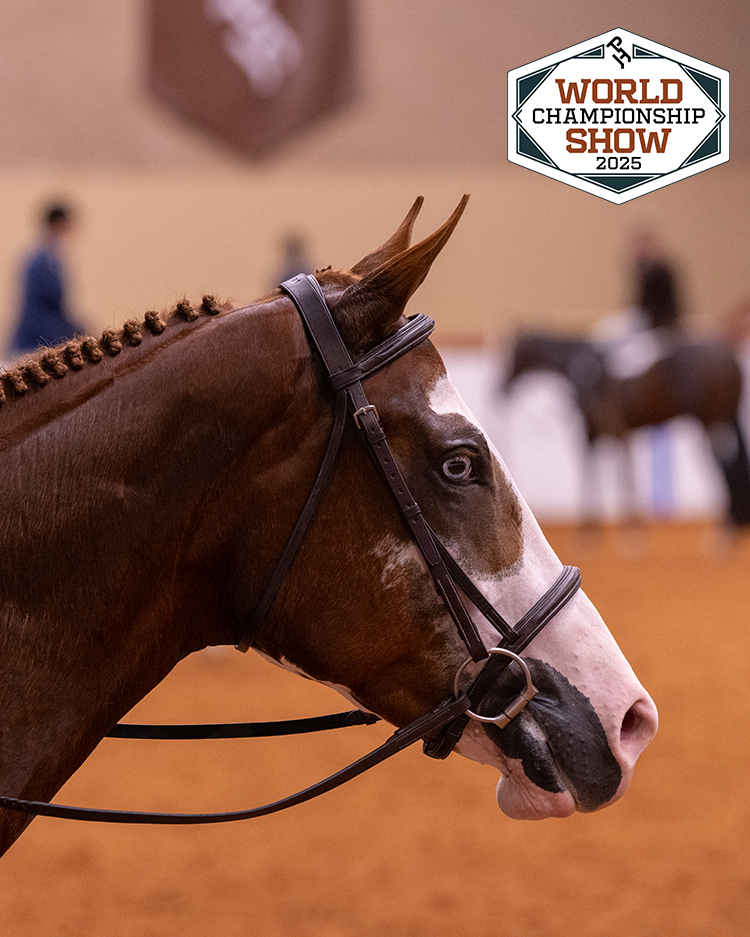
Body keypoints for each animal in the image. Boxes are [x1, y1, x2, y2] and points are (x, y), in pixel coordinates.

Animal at [504, 332, 750, 527]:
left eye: (514, 355)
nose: (500, 389)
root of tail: (727, 357)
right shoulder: (614, 433)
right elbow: (620, 473)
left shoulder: (594, 432)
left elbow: (599, 473)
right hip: (724, 417)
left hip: (708, 422)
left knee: (719, 460)